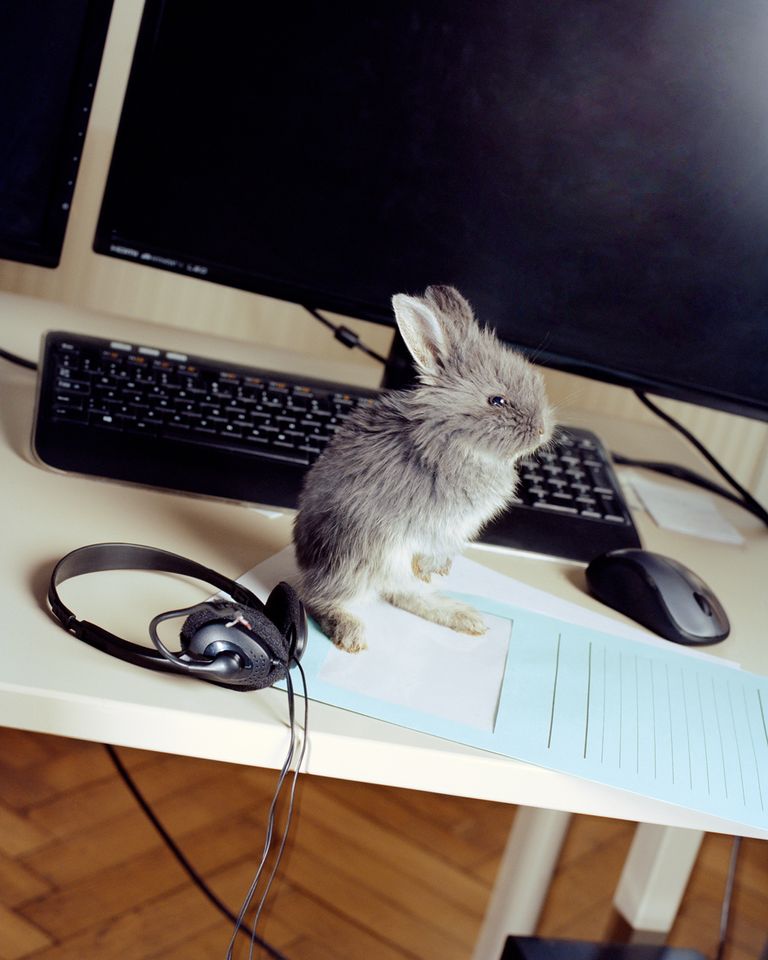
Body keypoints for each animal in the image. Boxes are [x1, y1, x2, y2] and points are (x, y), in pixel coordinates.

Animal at [292, 285, 554, 652]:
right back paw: (351, 633)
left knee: (403, 594)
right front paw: (433, 567)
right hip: (355, 562)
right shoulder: (433, 524)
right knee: (315, 597)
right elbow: (431, 544)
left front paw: (438, 572)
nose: (542, 431)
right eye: (497, 401)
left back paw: (464, 617)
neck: (456, 438)